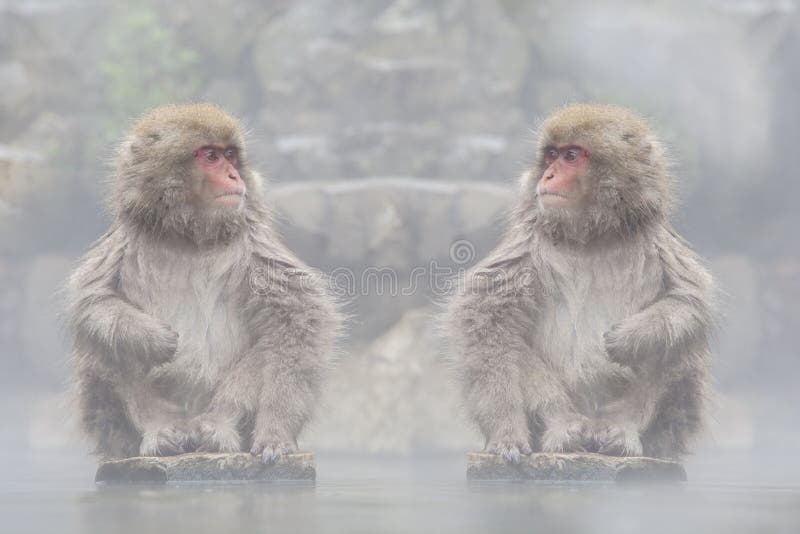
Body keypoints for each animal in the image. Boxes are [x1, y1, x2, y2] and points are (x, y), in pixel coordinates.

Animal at [65, 103, 341, 462]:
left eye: (230, 156)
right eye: (210, 156)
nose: (234, 176)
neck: (189, 234)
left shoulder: (251, 240)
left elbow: (299, 314)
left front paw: (275, 432)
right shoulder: (124, 241)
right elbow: (93, 300)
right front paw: (152, 337)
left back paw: (219, 425)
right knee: (102, 346)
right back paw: (160, 430)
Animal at [444, 103, 715, 461]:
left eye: (571, 156)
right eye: (551, 155)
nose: (547, 176)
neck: (592, 235)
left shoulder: (657, 242)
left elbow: (689, 301)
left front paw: (630, 337)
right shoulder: (530, 240)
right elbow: (483, 315)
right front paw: (506, 431)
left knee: (679, 346)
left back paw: (622, 430)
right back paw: (563, 424)